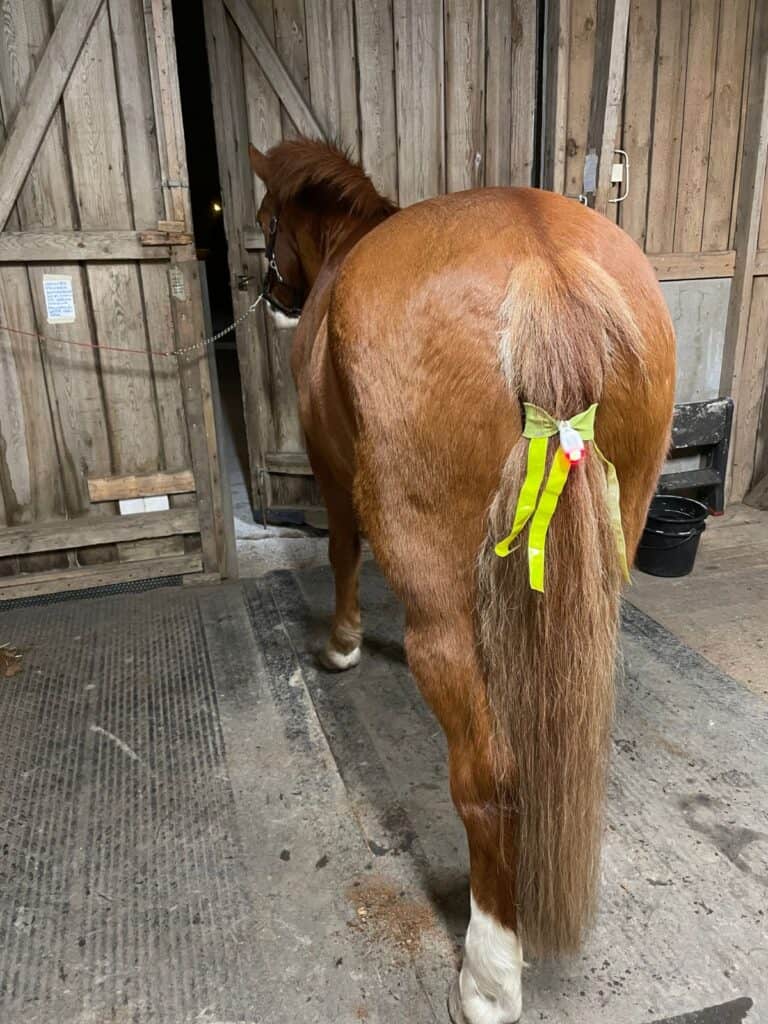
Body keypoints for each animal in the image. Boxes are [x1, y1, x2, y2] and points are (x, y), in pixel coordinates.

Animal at [248, 138, 675, 1024]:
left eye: (267, 220)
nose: (270, 295)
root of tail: (543, 268)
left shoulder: (331, 471)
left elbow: (341, 552)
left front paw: (341, 646)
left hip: (444, 620)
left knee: (490, 782)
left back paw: (488, 975)